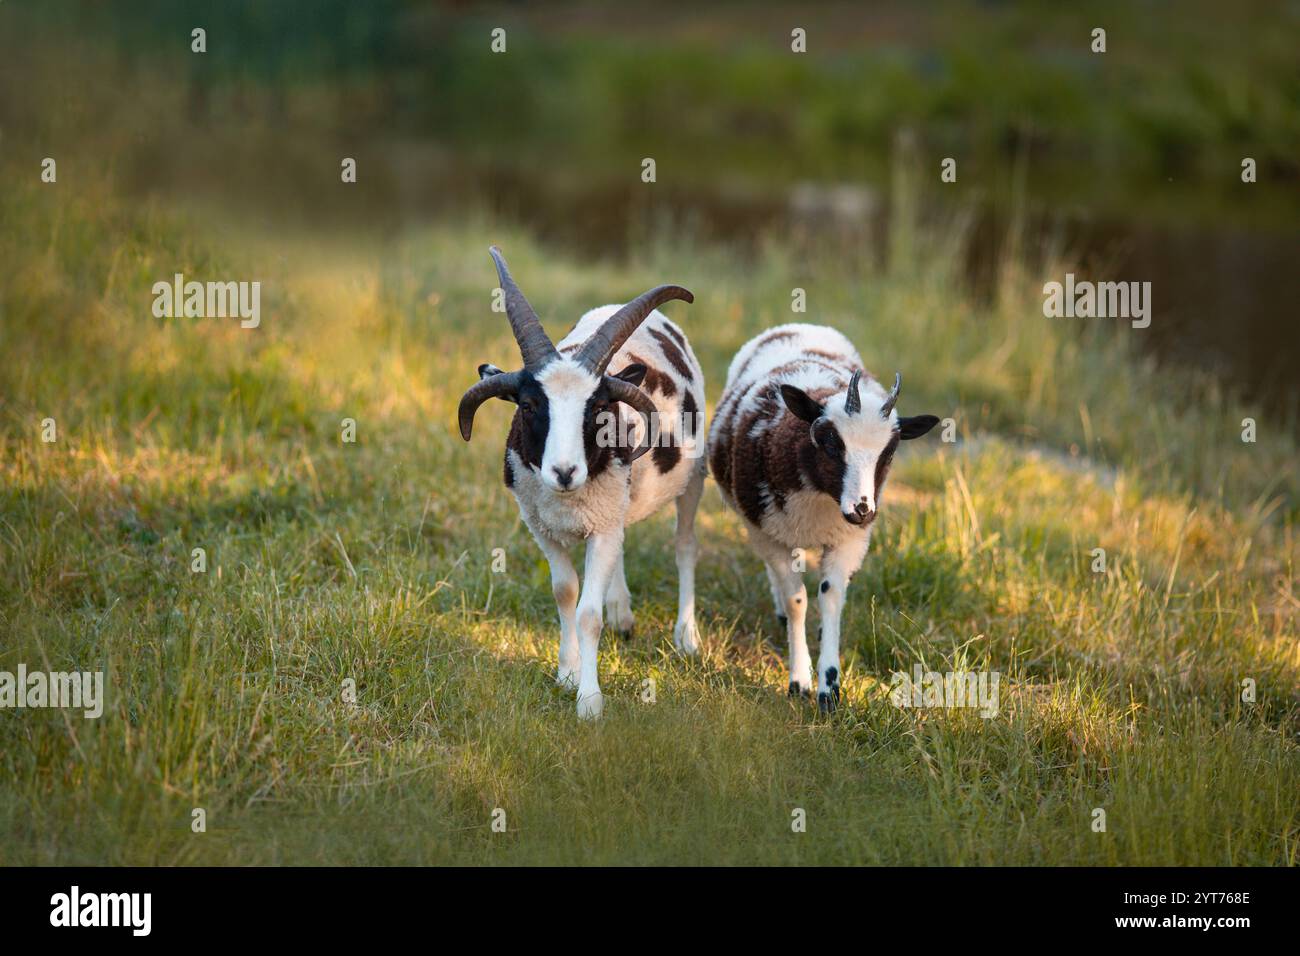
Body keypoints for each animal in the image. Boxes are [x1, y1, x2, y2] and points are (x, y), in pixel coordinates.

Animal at [458, 247, 706, 718]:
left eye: (598, 410)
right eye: (529, 405)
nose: (564, 472)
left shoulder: (603, 524)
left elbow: (588, 612)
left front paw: (589, 701)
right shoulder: (542, 527)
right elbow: (565, 592)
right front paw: (567, 673)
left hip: (693, 478)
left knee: (685, 547)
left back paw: (686, 637)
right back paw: (623, 613)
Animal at [707, 323, 939, 713]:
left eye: (890, 452)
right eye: (830, 442)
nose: (863, 509)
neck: (820, 495)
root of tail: (799, 326)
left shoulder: (850, 539)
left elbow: (831, 597)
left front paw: (829, 689)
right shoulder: (768, 532)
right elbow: (796, 599)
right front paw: (799, 681)